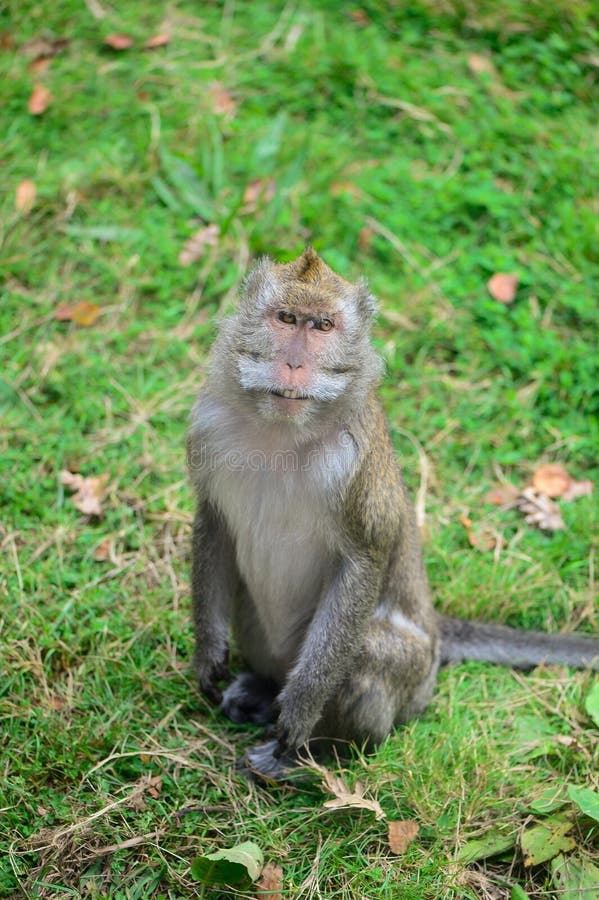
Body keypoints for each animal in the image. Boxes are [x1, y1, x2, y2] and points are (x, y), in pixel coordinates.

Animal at [187, 247, 599, 780]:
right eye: (286, 319)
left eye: (323, 326)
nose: (293, 362)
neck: (282, 430)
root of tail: (437, 634)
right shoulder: (207, 428)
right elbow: (214, 524)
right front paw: (208, 651)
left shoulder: (354, 465)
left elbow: (364, 559)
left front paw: (299, 714)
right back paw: (260, 689)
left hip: (411, 676)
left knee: (366, 657)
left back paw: (307, 757)